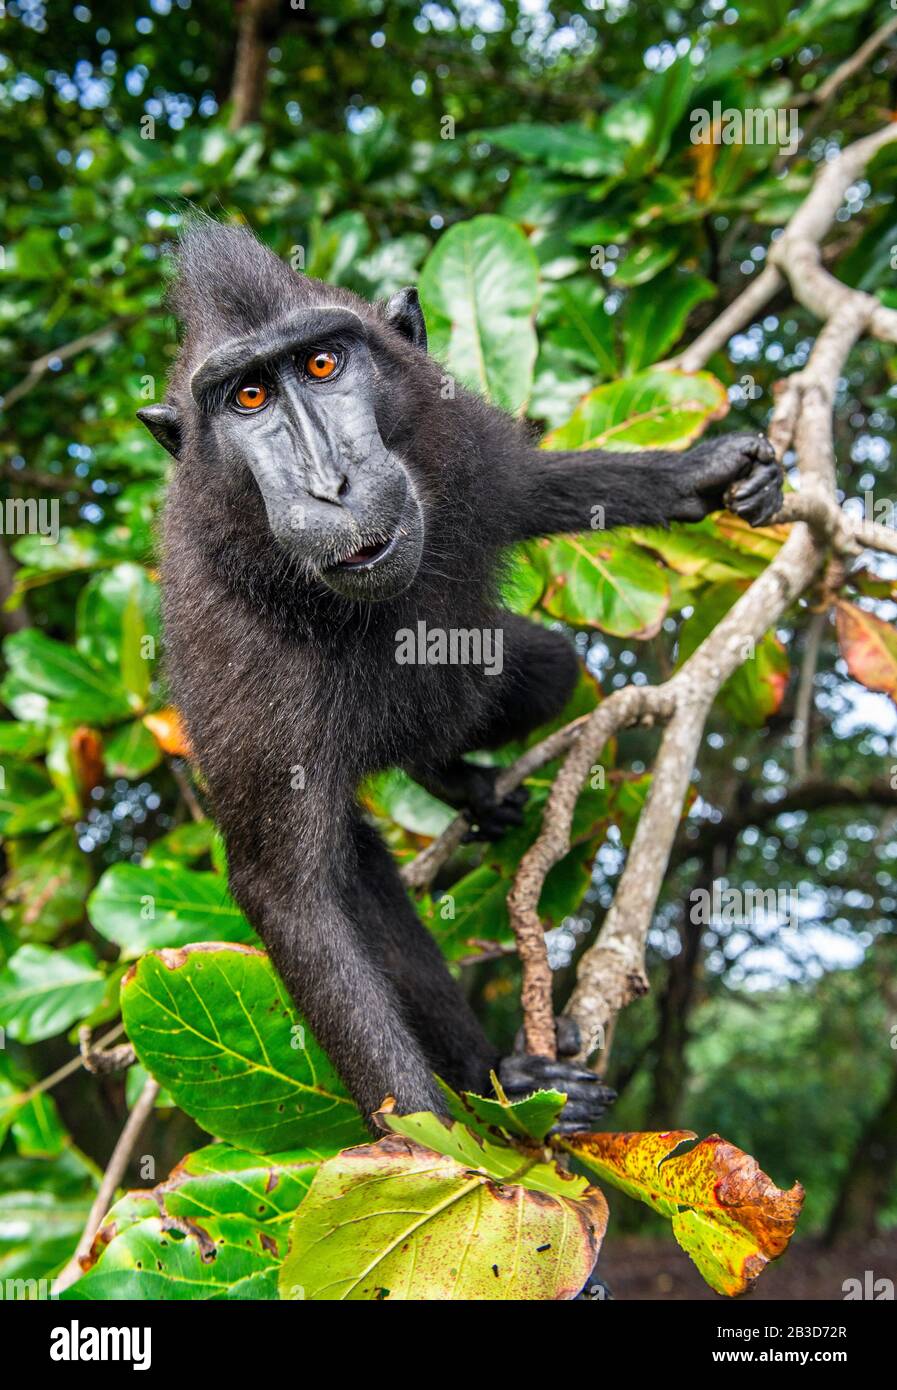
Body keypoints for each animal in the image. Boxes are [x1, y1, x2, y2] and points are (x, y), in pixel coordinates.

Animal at [138, 220, 783, 1135]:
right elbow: (294, 898)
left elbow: (535, 489)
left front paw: (706, 471)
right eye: (248, 399)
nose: (328, 486)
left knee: (545, 672)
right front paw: (427, 1148)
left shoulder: (463, 445)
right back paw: (502, 1084)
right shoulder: (248, 664)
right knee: (356, 868)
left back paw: (448, 776)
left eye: (323, 364)